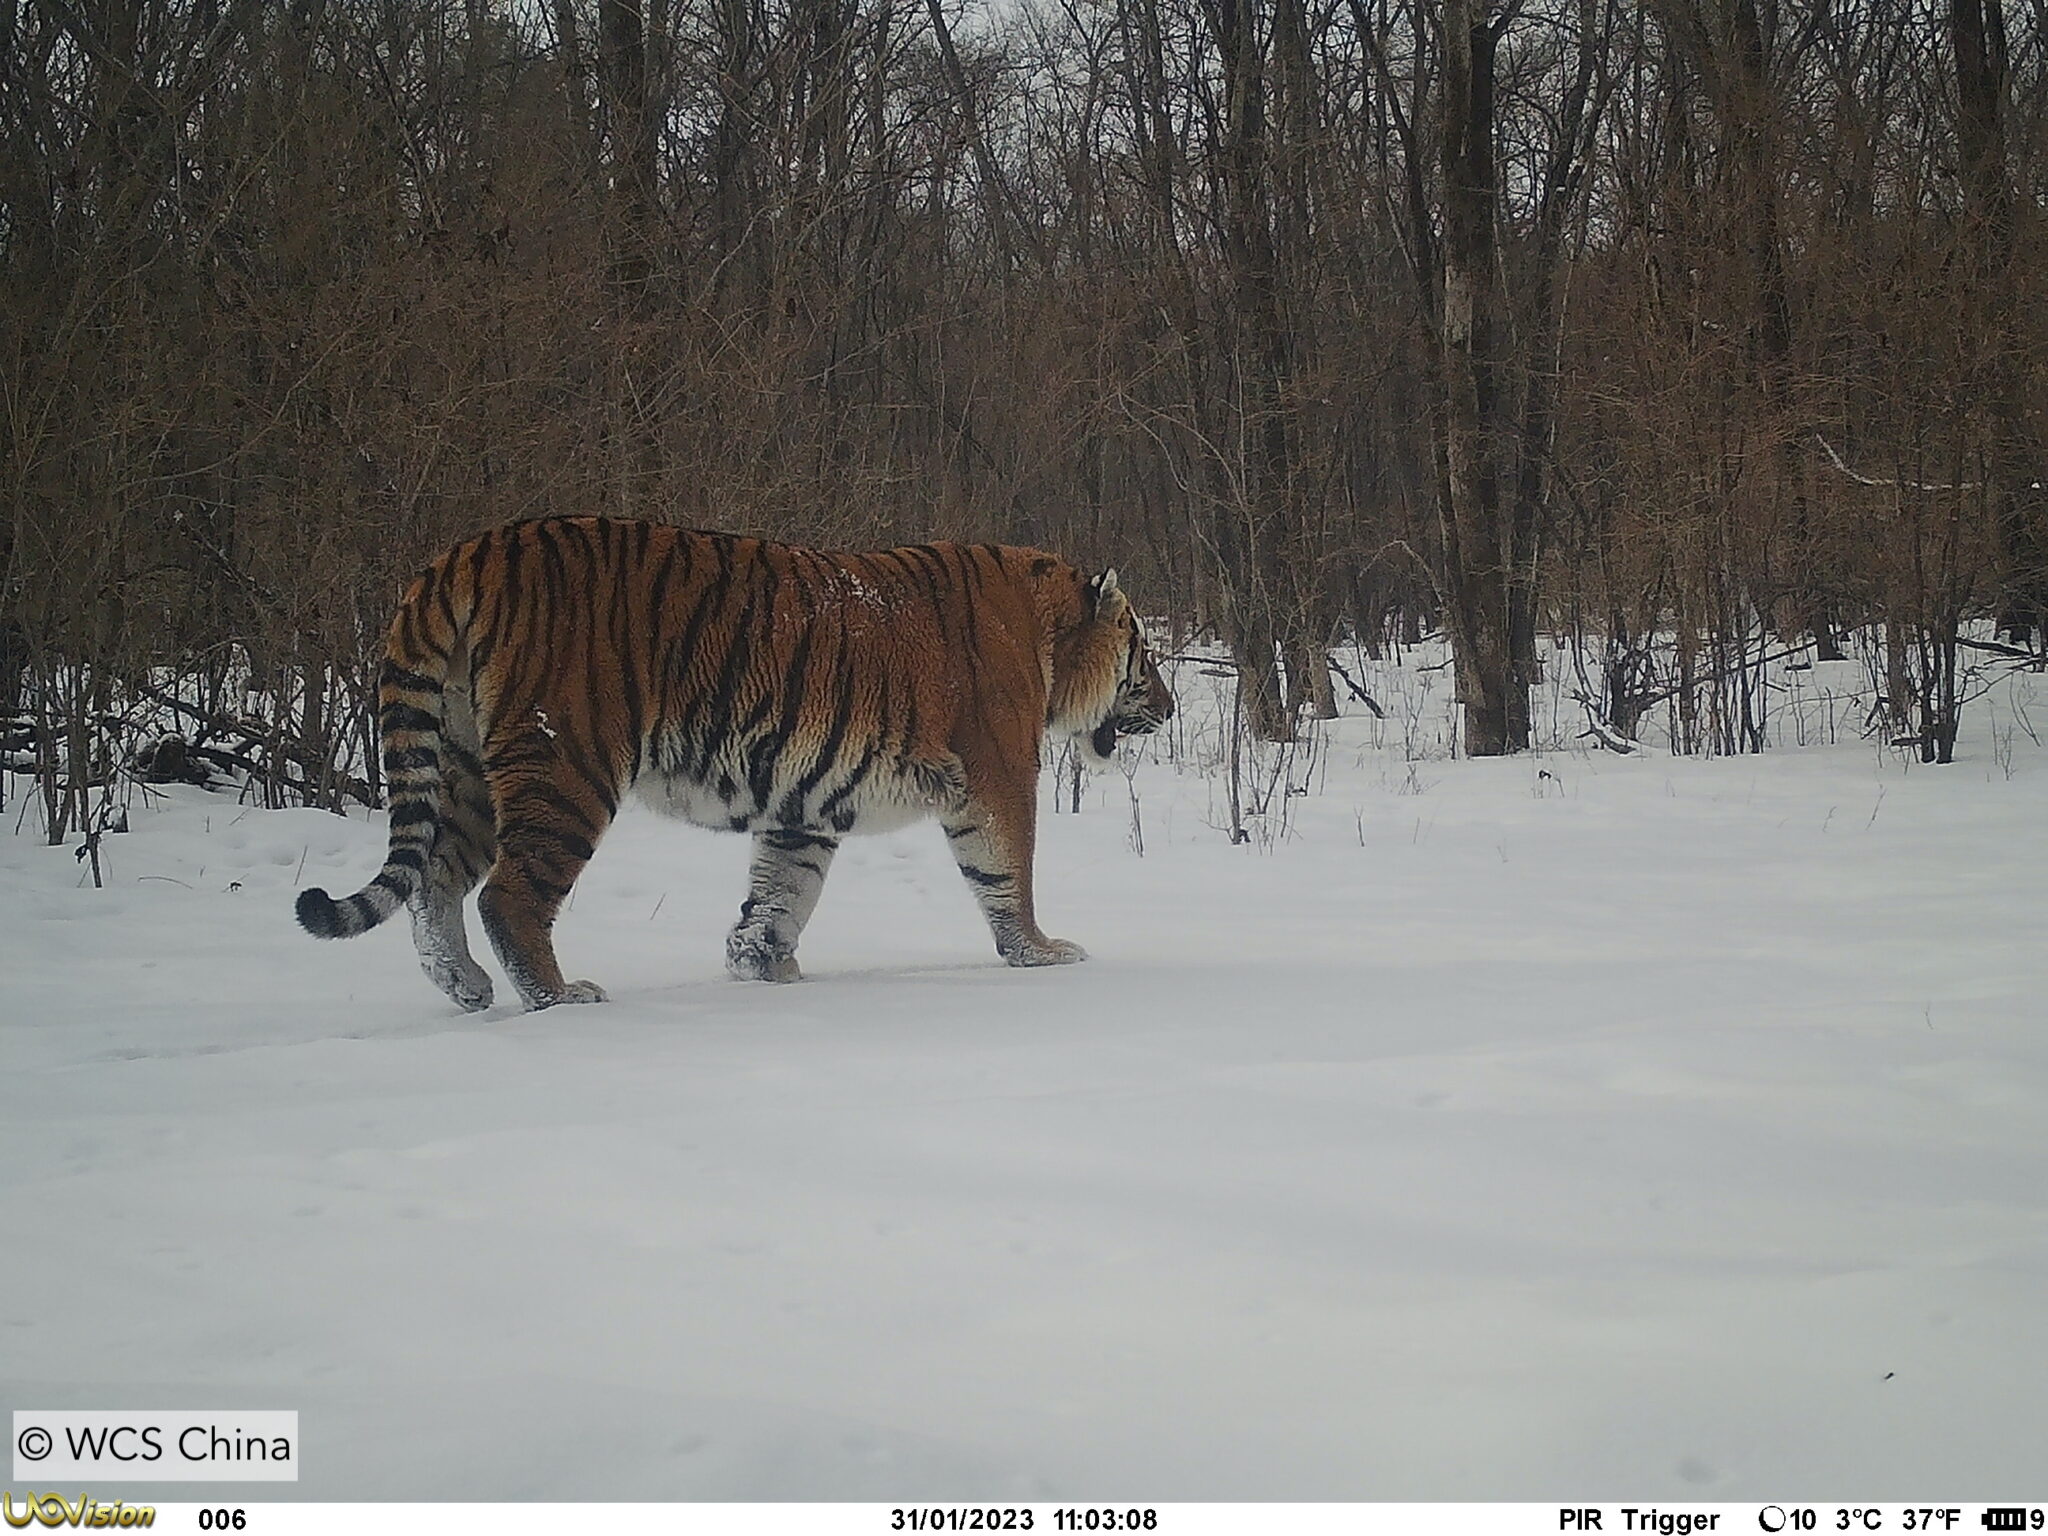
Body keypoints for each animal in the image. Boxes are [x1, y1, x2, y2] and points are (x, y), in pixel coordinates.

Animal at [295, 517, 1174, 1010]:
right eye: (1144, 654)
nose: (1167, 708)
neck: (1048, 635)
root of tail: (471, 549)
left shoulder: (806, 799)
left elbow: (782, 892)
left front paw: (761, 968)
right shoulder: (996, 776)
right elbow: (1008, 872)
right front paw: (1043, 953)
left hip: (466, 764)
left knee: (435, 881)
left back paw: (466, 988)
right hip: (565, 761)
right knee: (509, 895)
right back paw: (561, 998)